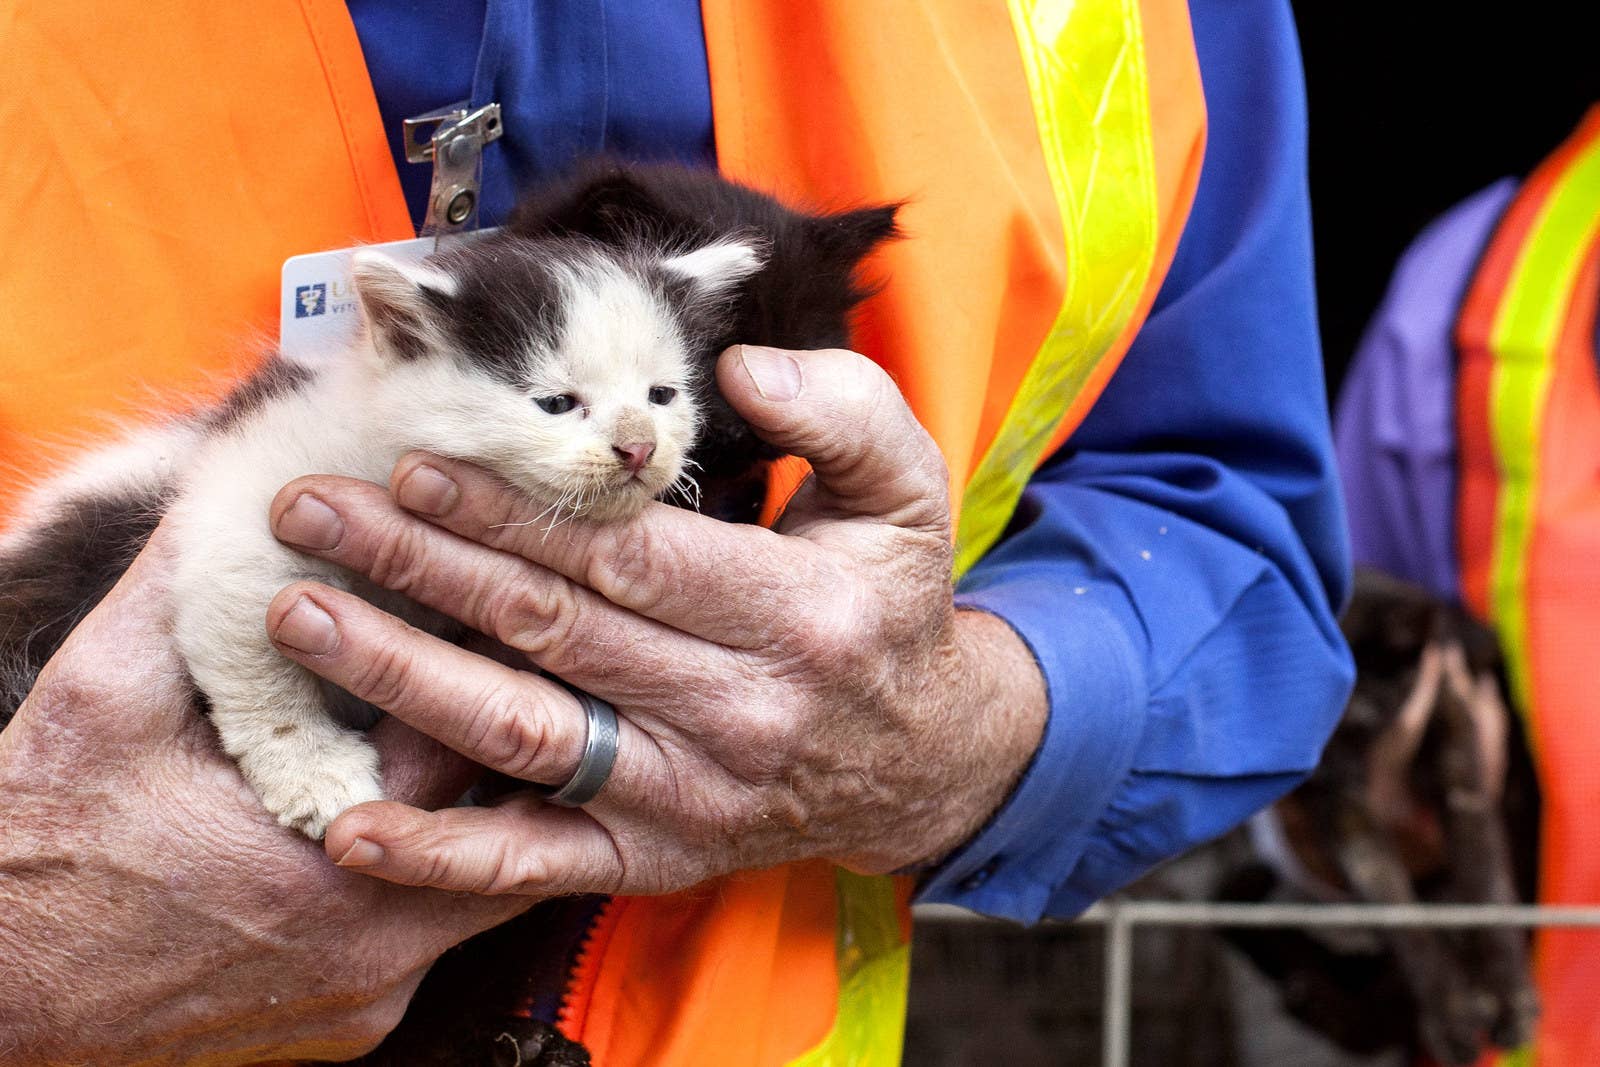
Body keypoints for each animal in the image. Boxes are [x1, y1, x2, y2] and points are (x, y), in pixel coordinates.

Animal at [0, 160, 902, 844]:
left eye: (664, 394)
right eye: (556, 403)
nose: (640, 447)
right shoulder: (241, 512)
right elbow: (251, 652)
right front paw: (315, 773)